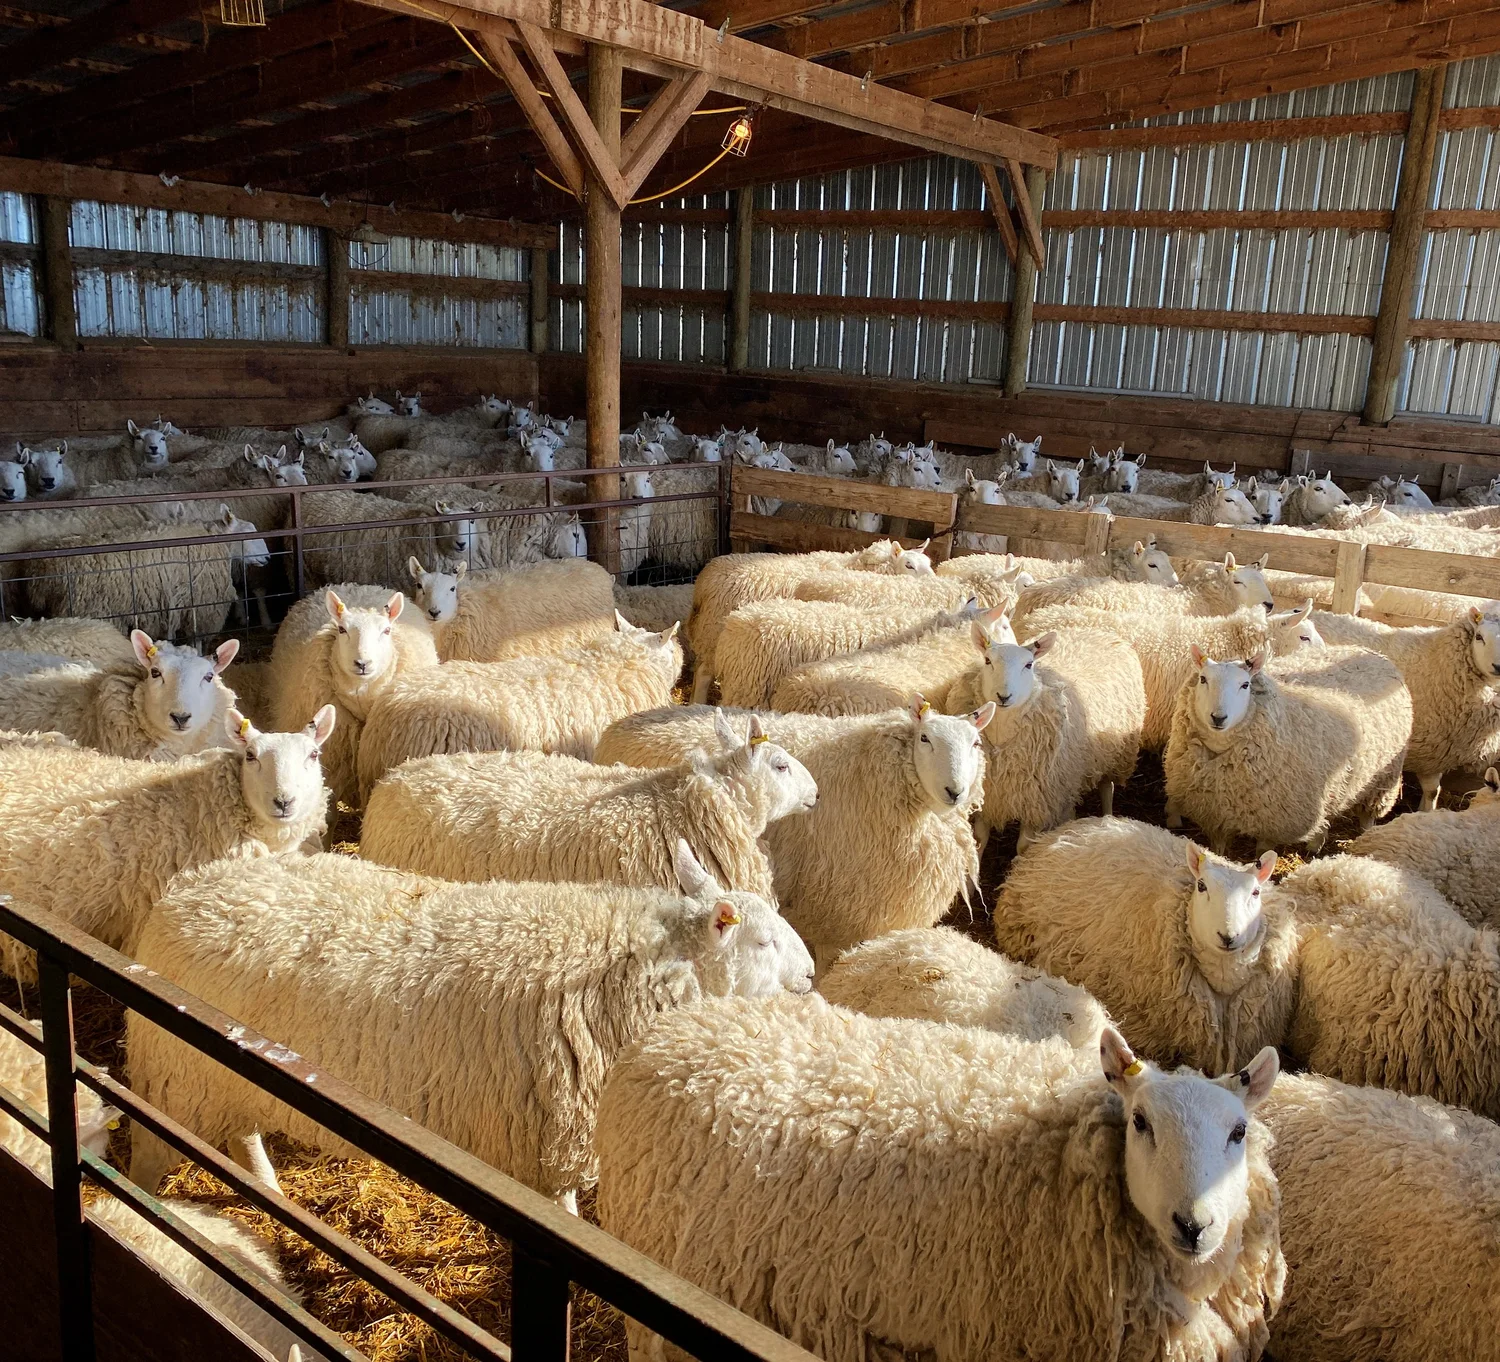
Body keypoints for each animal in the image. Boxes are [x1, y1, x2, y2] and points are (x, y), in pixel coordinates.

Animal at [127, 842, 812, 1207]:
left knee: (242, 1134)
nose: (810, 977)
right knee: (149, 1154)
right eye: (763, 942)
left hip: (221, 1072)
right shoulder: (552, 1142)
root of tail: (186, 890)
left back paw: (267, 1189)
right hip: (173, 1073)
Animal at [1164, 644, 1411, 854]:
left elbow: (1263, 852)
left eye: (1245, 685)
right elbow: (1218, 848)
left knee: (1368, 814)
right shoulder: (1215, 813)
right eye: (1203, 679)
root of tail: (1373, 652)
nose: (1218, 717)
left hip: (1382, 780)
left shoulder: (1274, 822)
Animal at [1308, 605, 1500, 809]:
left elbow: (1433, 792)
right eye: (1479, 637)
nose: (1498, 666)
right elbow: (1431, 790)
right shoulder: (1427, 753)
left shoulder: (1439, 753)